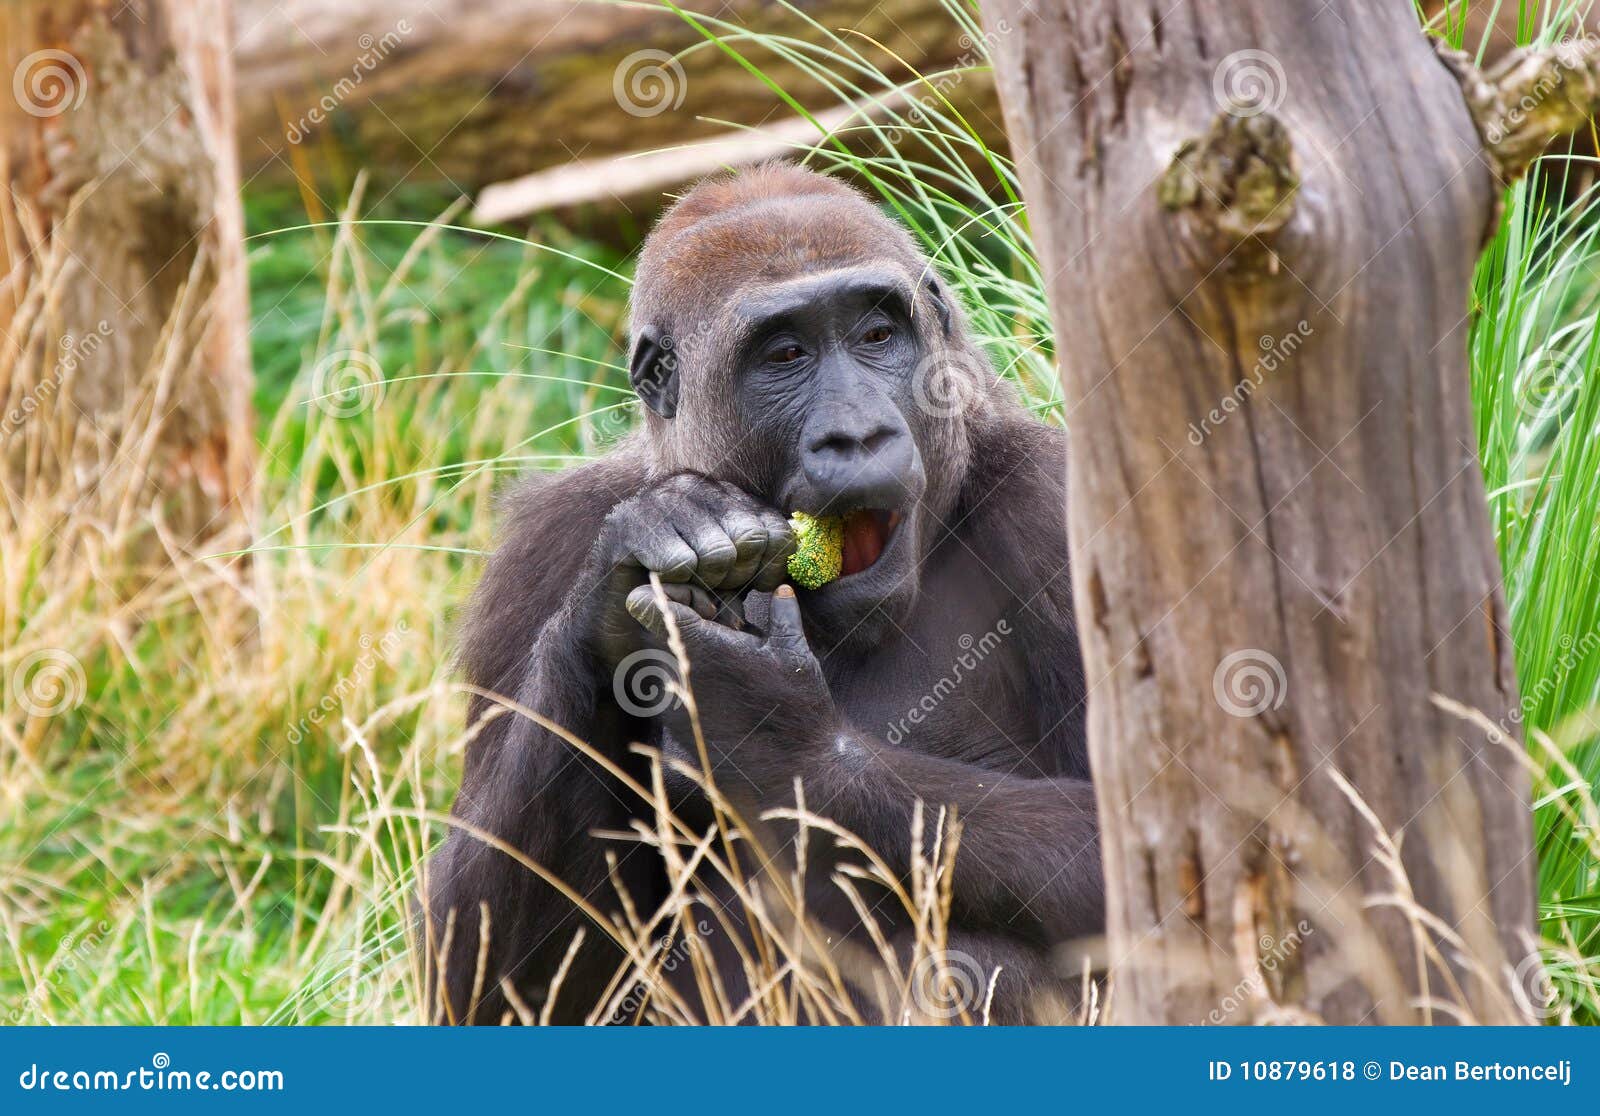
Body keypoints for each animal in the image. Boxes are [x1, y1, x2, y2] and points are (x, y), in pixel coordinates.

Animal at [420, 162, 1102, 1024]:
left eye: (877, 337)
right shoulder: (538, 550)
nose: (857, 436)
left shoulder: (1057, 502)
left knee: (980, 962)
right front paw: (616, 588)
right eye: (785, 353)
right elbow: (484, 975)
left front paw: (776, 733)